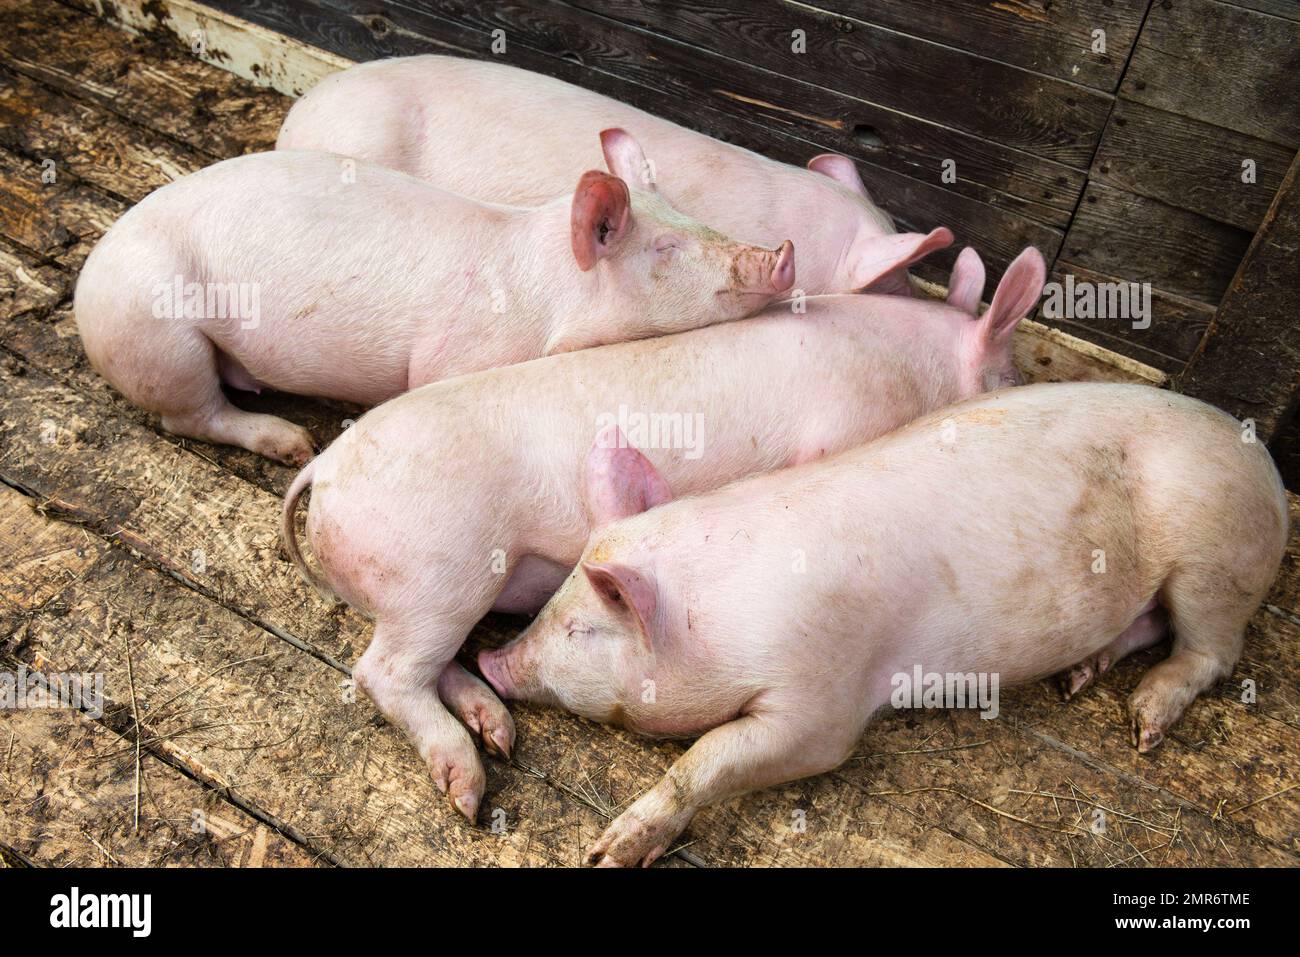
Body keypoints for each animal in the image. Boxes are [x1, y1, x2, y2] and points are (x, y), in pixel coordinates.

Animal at [74, 141, 795, 465]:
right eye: (666, 248)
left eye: (694, 216)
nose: (782, 252)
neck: (551, 298)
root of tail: (90, 277)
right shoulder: (457, 357)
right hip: (158, 335)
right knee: (188, 416)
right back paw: (293, 444)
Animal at [280, 245, 1047, 823]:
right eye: (1007, 375)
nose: (1018, 392)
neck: (911, 367)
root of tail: (327, 464)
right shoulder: (842, 428)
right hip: (440, 576)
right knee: (382, 672)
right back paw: (470, 788)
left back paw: (498, 730)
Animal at [480, 382, 1288, 866]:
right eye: (551, 606)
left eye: (582, 631)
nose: (492, 662)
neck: (713, 618)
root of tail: (1268, 469)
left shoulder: (823, 702)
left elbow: (709, 758)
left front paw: (606, 850)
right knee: (1147, 625)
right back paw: (1077, 678)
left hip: (1216, 559)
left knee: (1212, 651)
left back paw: (1143, 724)